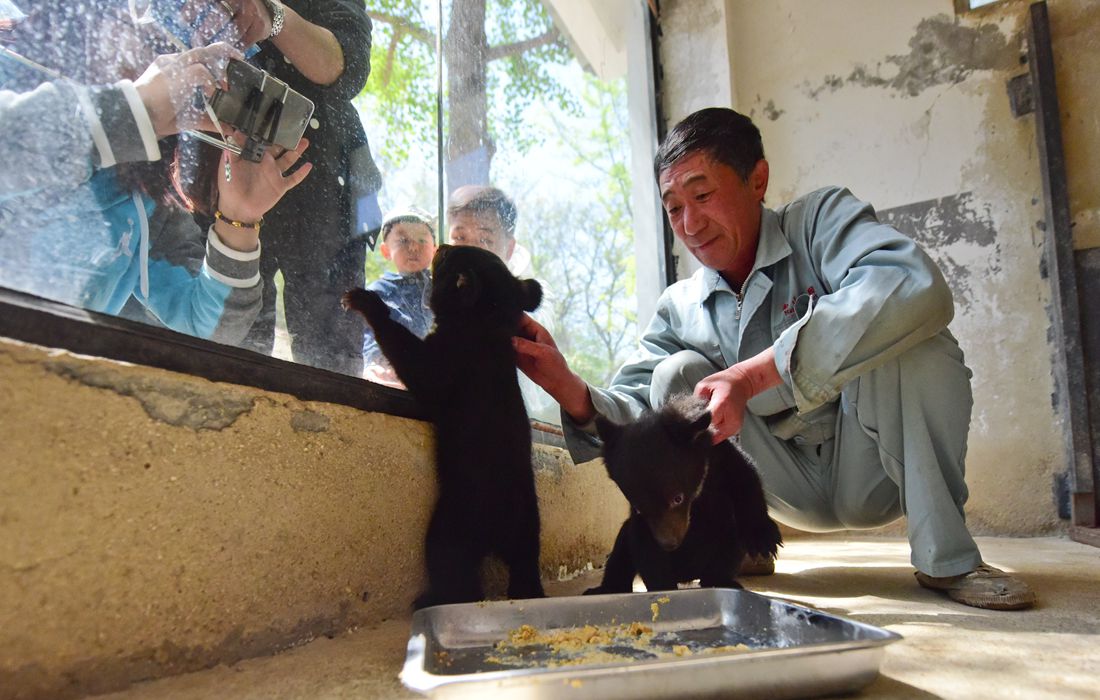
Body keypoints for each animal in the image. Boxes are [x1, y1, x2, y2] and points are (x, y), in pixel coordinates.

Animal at [342, 244, 546, 609]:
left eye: (451, 258)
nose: (442, 246)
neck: (484, 327)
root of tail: (499, 526)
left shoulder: (450, 360)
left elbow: (419, 369)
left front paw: (366, 302)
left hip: (453, 522)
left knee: (453, 567)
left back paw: (432, 599)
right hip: (527, 529)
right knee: (524, 564)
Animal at [585, 393, 782, 594]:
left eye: (677, 498)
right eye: (638, 507)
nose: (669, 544)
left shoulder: (722, 455)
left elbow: (745, 476)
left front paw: (762, 540)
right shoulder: (643, 527)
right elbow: (647, 551)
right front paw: (662, 588)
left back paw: (722, 582)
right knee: (621, 554)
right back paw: (606, 588)